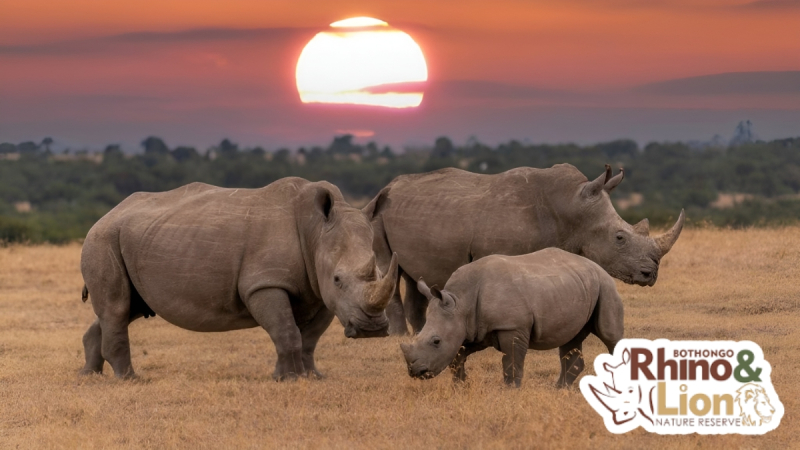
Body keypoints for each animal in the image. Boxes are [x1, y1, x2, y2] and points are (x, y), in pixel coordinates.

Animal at [79, 178, 398, 380]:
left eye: (381, 273)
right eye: (337, 279)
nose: (372, 329)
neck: (316, 232)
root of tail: (108, 214)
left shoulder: (318, 291)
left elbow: (309, 338)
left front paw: (312, 377)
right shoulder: (265, 283)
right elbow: (286, 331)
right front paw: (289, 379)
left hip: (132, 238)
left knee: (126, 309)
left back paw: (89, 375)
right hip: (103, 238)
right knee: (117, 308)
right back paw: (129, 379)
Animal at [364, 164, 684, 335]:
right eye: (619, 238)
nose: (650, 274)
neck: (571, 208)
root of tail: (386, 187)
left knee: (412, 273)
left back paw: (420, 332)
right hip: (377, 213)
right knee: (389, 266)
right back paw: (398, 336)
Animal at [400, 248, 623, 388]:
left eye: (436, 341)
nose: (415, 372)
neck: (460, 301)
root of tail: (597, 266)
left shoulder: (512, 327)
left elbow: (512, 361)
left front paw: (510, 391)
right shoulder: (473, 328)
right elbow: (458, 356)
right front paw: (460, 386)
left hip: (605, 286)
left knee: (609, 335)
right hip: (576, 286)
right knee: (570, 338)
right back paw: (559, 389)